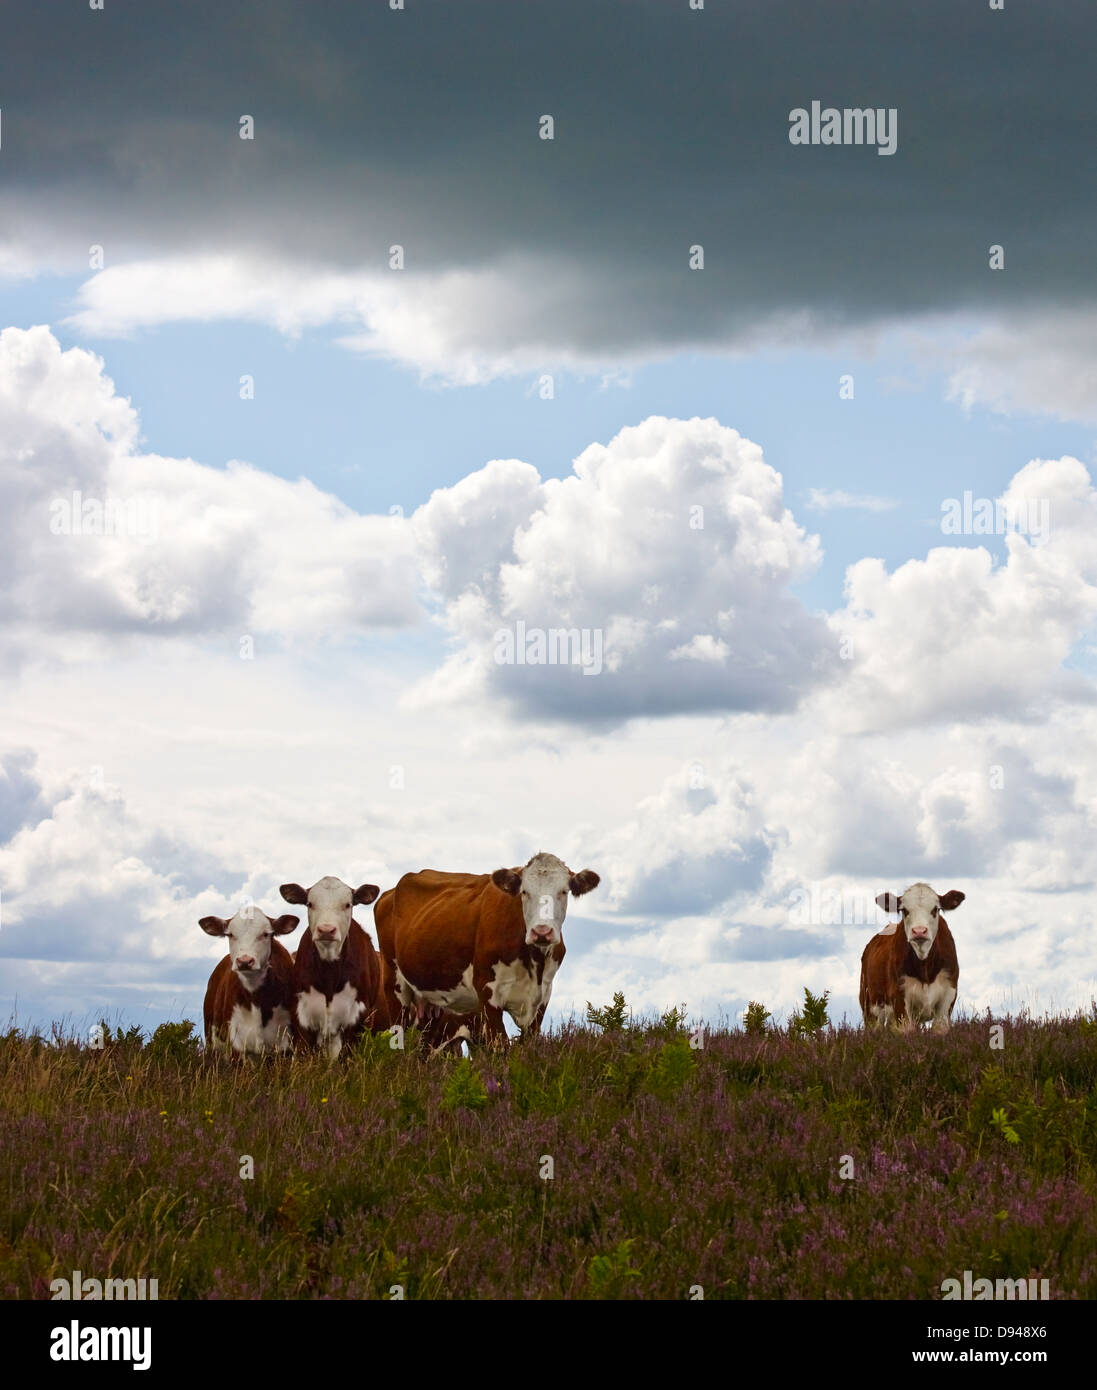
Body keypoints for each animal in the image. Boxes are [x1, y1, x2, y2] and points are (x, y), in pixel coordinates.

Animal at [279, 876, 383, 1057]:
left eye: (347, 904)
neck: (329, 974)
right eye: (310, 904)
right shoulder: (302, 1016)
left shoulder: (359, 1017)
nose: (326, 930)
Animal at [374, 851, 600, 1047]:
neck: (534, 961)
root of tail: (390, 893)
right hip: (394, 985)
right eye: (525, 892)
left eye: (563, 891)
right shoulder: (487, 992)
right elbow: (500, 1049)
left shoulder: (542, 997)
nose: (542, 932)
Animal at [860, 883, 964, 1033]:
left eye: (935, 909)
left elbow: (939, 1028)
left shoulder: (948, 996)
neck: (925, 966)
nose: (919, 931)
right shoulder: (899, 997)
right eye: (904, 910)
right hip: (869, 1007)